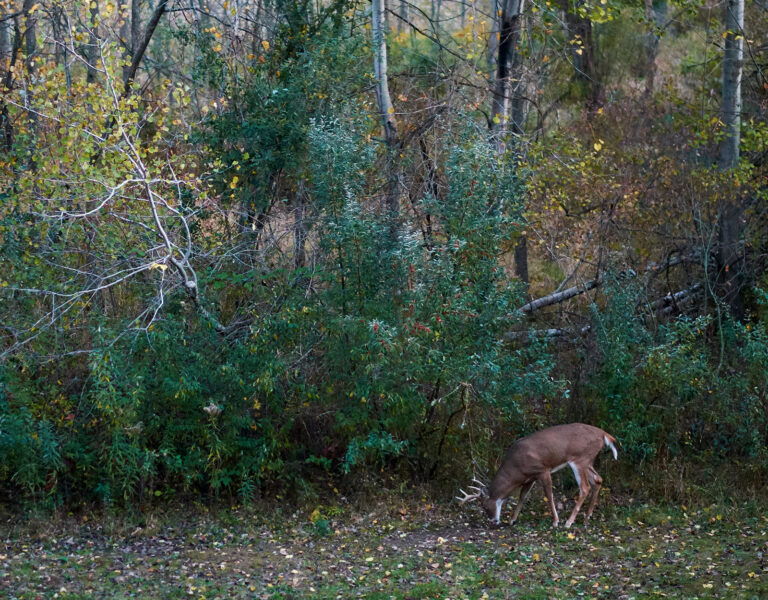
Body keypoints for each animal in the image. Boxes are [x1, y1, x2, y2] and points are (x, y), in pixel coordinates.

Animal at [456, 423, 618, 528]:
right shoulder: (529, 477)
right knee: (598, 480)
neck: (515, 468)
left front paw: (556, 521)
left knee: (585, 487)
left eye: (484, 506)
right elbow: (522, 496)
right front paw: (512, 520)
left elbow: (549, 495)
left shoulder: (542, 469)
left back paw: (568, 522)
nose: (492, 521)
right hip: (588, 461)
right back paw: (587, 517)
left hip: (580, 459)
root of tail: (604, 435)